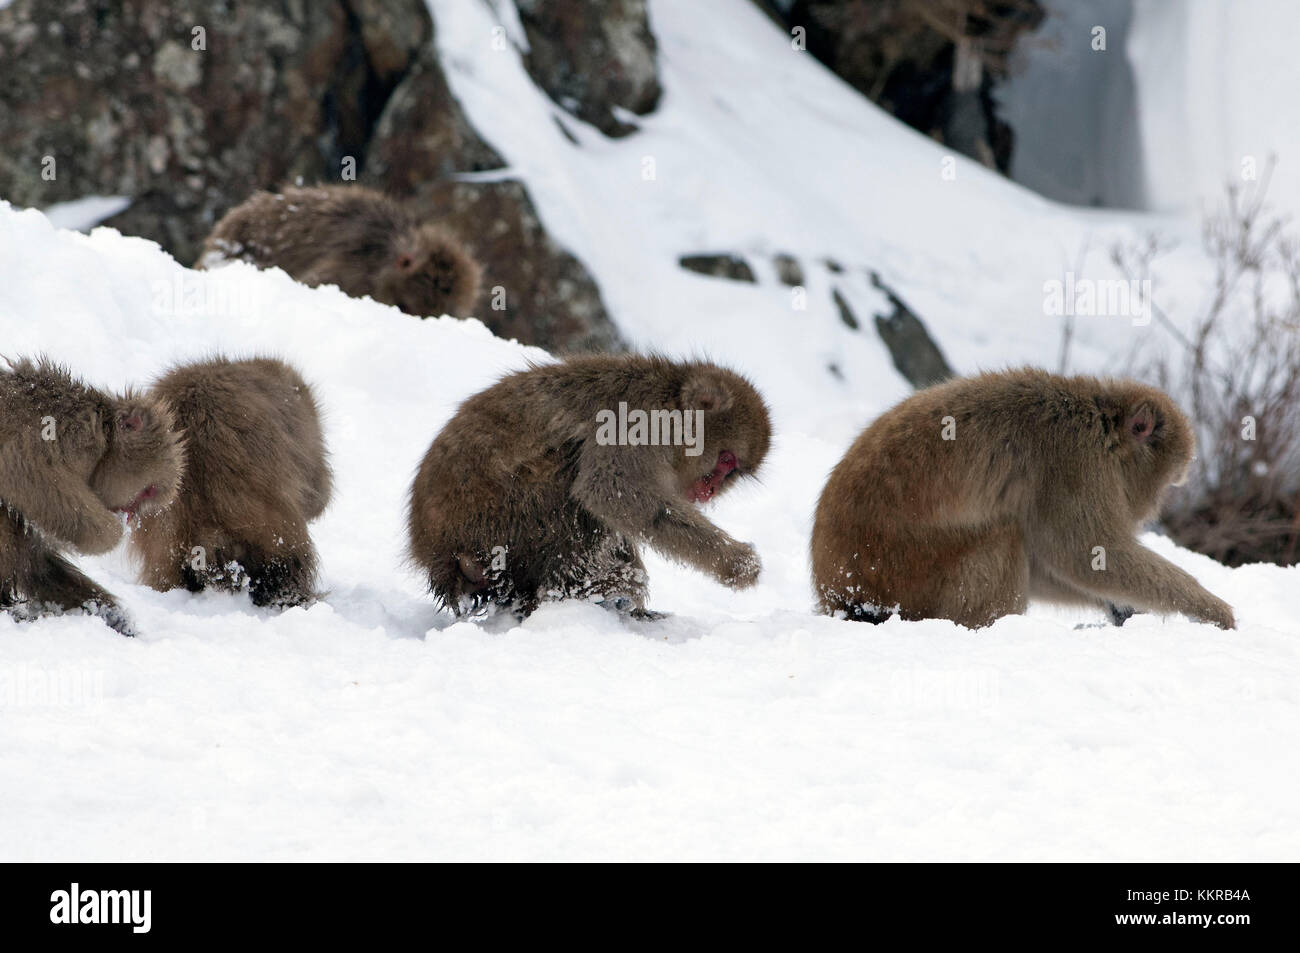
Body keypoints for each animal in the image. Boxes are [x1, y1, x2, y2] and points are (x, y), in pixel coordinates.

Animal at [0, 358, 183, 636]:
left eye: (144, 498)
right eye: (146, 491)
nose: (131, 514)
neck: (104, 433)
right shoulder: (68, 431)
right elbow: (23, 469)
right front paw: (112, 533)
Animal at [408, 354, 772, 619]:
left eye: (731, 473)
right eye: (725, 460)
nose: (710, 490)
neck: (669, 406)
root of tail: (435, 554)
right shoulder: (635, 426)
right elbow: (609, 490)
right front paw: (736, 563)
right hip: (495, 529)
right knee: (569, 472)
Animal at [811, 368, 1235, 630]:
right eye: (1165, 485)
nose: (1150, 511)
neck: (1100, 423)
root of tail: (839, 594)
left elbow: (1054, 561)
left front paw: (1125, 608)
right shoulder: (1076, 461)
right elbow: (1085, 554)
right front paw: (1212, 609)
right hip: (910, 581)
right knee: (1002, 536)